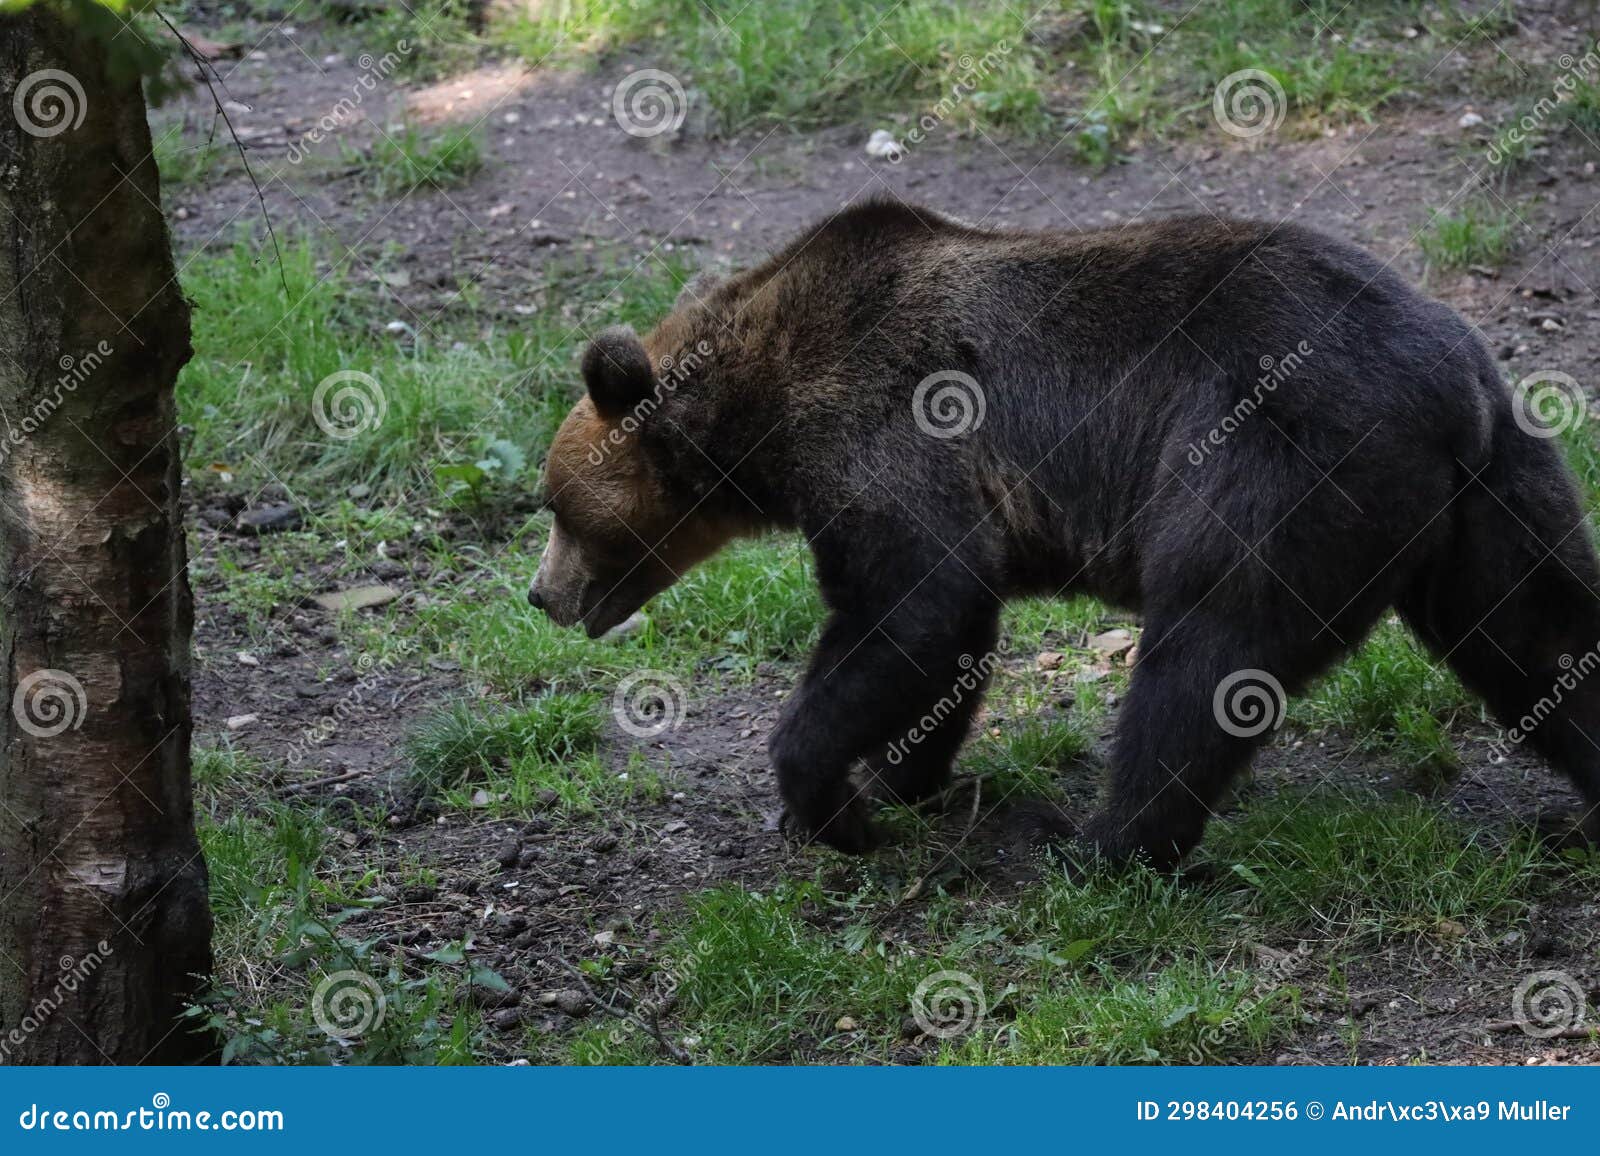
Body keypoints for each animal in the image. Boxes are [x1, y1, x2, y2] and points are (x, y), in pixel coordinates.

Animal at [527, 198, 1600, 870]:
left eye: (556, 509)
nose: (541, 594)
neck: (762, 416)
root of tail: (1452, 385)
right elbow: (947, 639)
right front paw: (906, 776)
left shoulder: (886, 440)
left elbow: (912, 607)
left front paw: (827, 804)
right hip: (1495, 495)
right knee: (1542, 641)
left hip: (1278, 461)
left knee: (1205, 655)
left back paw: (1101, 848)